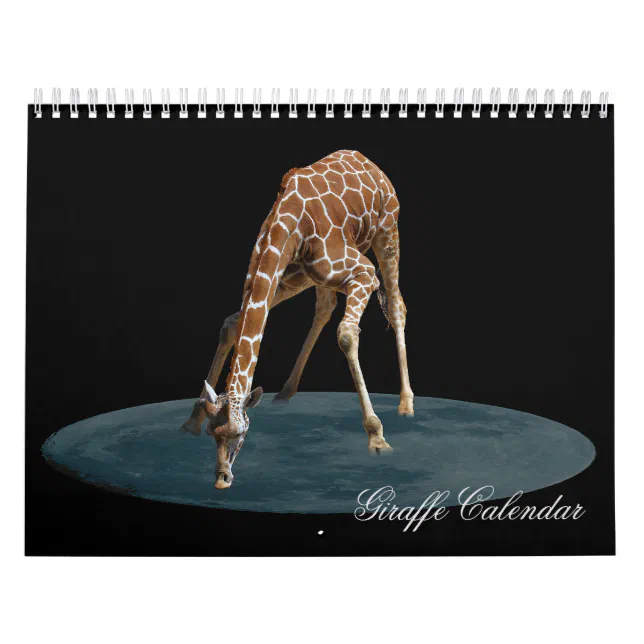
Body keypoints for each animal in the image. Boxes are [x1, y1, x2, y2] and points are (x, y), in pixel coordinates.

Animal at [180, 150, 414, 489]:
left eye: (241, 435)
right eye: (213, 434)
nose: (221, 479)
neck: (288, 224)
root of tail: (369, 163)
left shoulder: (364, 274)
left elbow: (347, 334)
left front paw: (377, 437)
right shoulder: (279, 277)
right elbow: (231, 324)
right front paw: (191, 421)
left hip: (387, 231)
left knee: (396, 307)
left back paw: (406, 405)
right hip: (305, 277)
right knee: (325, 306)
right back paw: (286, 390)